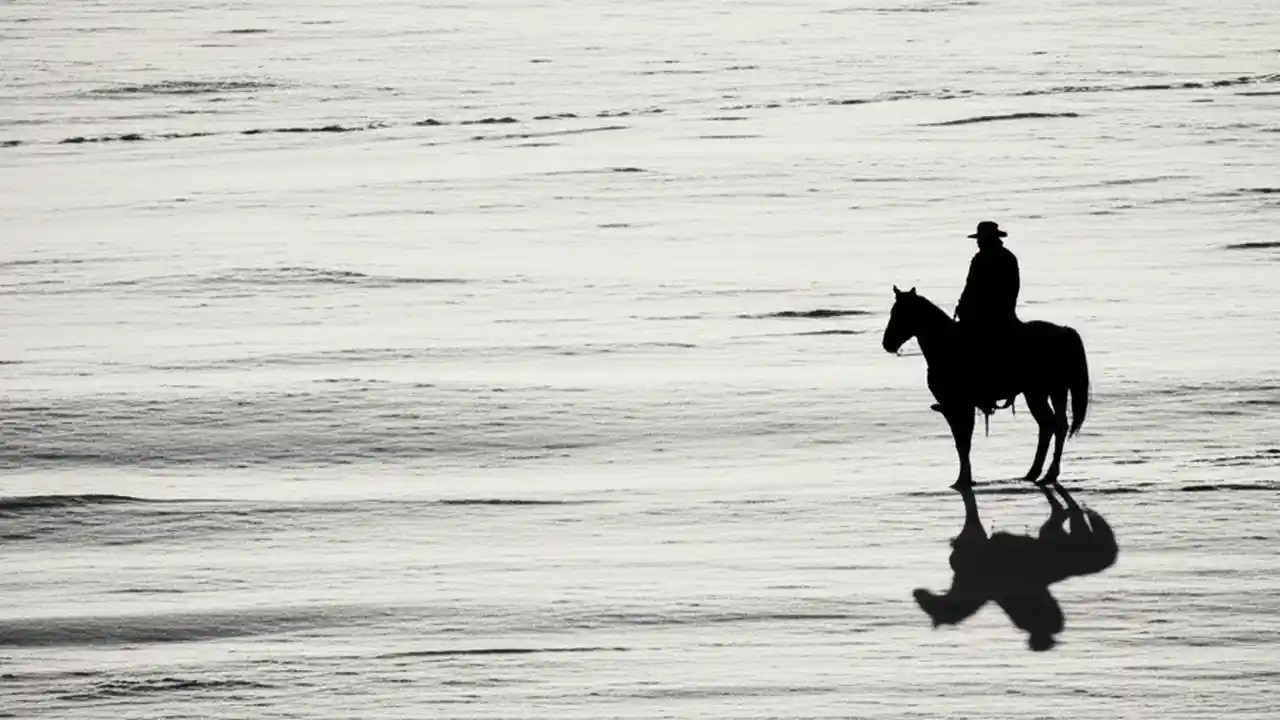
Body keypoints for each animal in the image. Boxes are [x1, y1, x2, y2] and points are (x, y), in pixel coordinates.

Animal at [882, 286, 1090, 488]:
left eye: (903, 314)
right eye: (892, 312)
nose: (887, 343)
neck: (947, 347)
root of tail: (1064, 331)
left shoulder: (956, 407)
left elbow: (962, 442)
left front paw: (963, 479)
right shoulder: (958, 408)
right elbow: (963, 442)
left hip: (1043, 392)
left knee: (1054, 425)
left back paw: (1047, 474)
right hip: (1048, 393)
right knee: (1052, 425)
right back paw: (1036, 474)